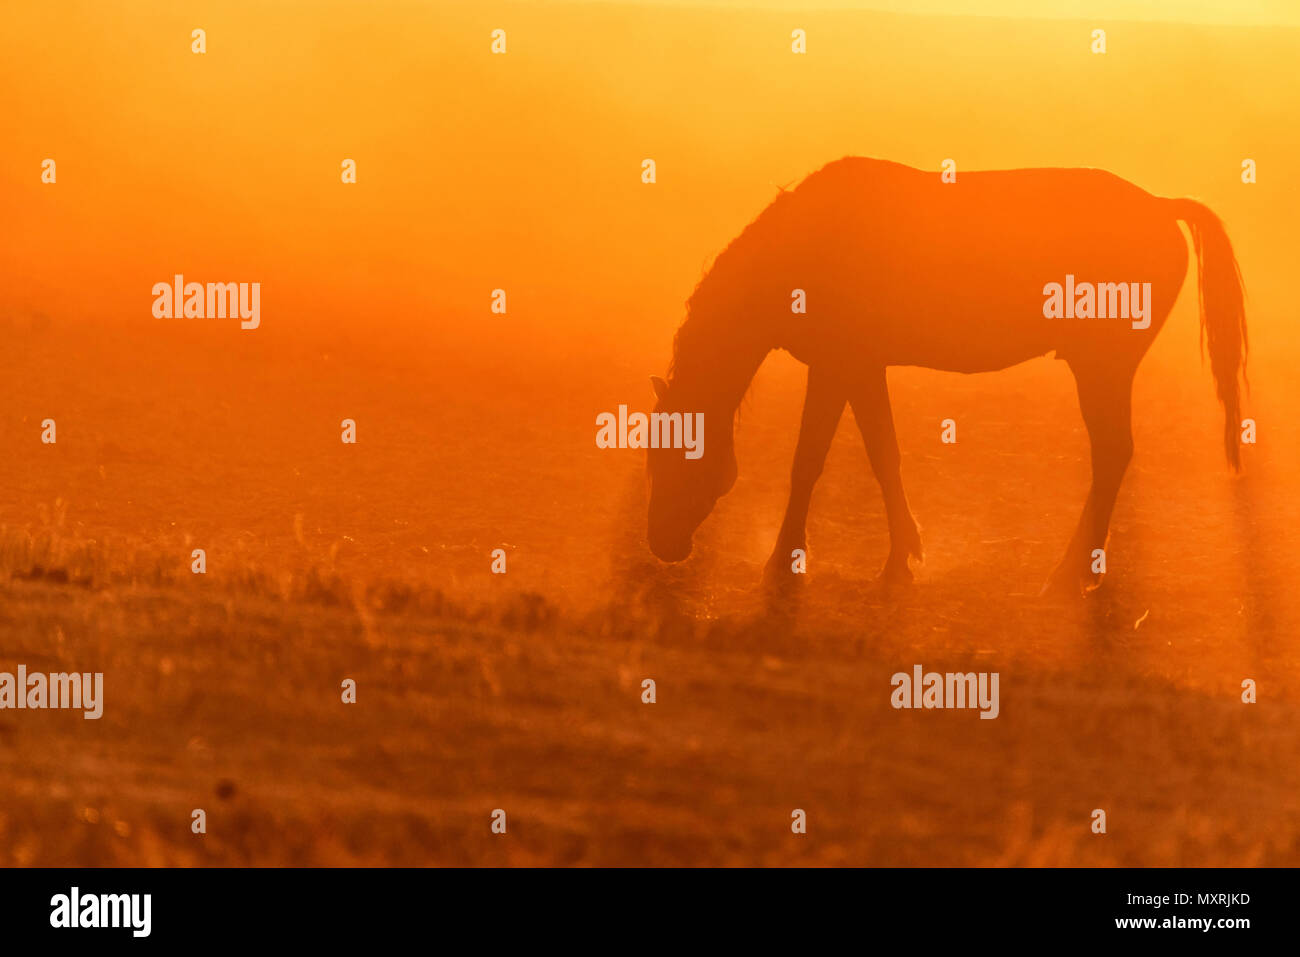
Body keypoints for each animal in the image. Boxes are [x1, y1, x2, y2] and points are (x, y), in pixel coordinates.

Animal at [645, 157, 1247, 595]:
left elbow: (808, 462)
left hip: (1104, 367)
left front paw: (783, 562)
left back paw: (1070, 572)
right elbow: (883, 455)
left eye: (671, 457)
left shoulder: (836, 366)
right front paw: (900, 558)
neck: (805, 247)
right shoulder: (861, 367)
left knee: (1113, 453)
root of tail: (1161, 207)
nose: (660, 545)